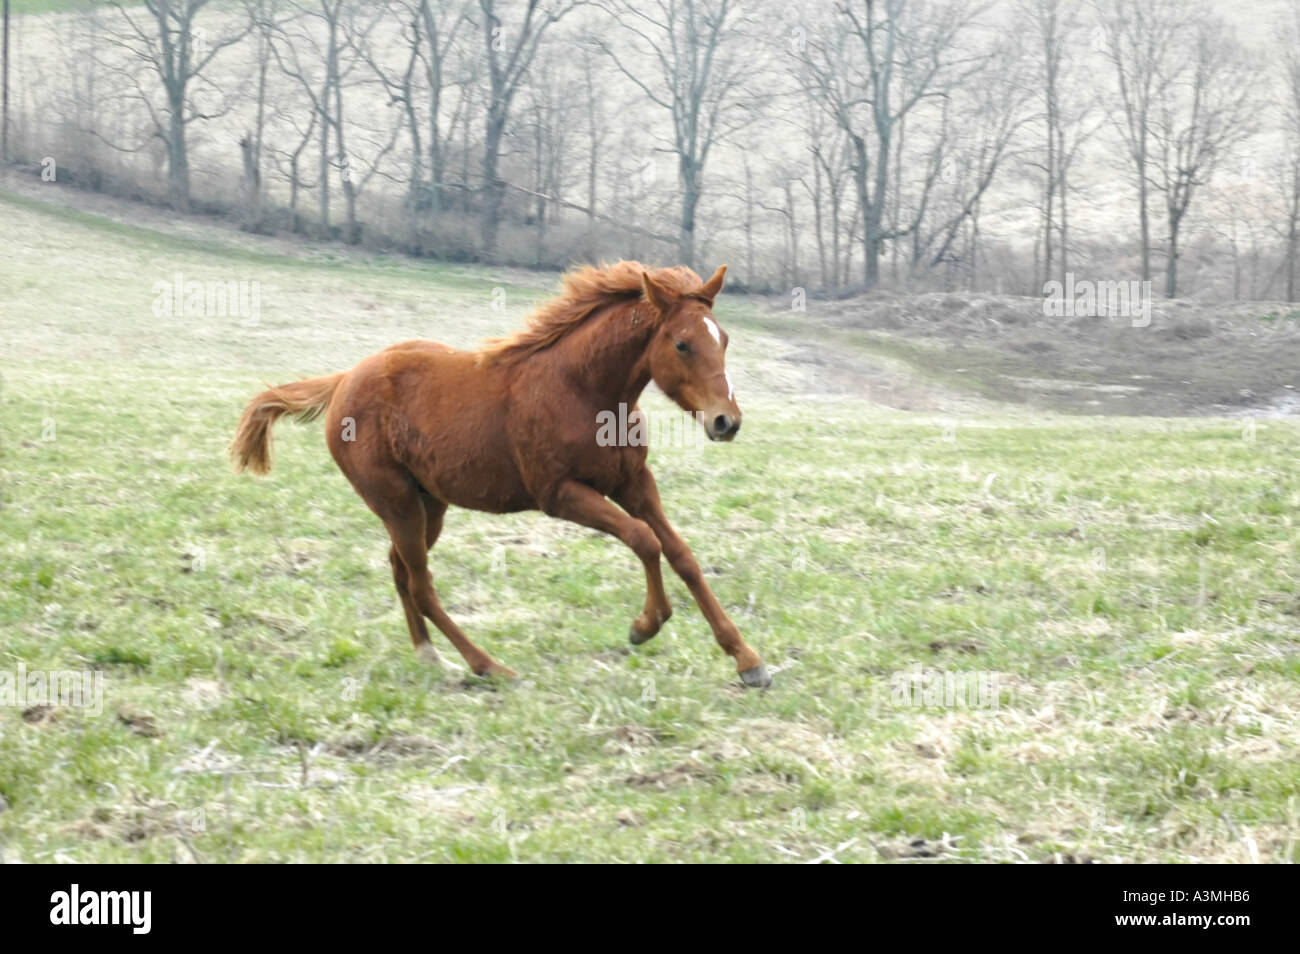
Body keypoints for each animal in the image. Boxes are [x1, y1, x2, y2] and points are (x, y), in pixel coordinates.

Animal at [231, 261, 771, 688]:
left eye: (723, 339)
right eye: (681, 344)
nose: (726, 421)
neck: (582, 390)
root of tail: (344, 380)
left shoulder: (634, 482)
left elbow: (681, 554)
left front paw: (747, 659)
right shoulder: (560, 495)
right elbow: (644, 540)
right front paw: (646, 625)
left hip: (428, 505)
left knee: (400, 570)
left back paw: (431, 657)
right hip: (397, 502)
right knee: (421, 584)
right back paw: (488, 666)